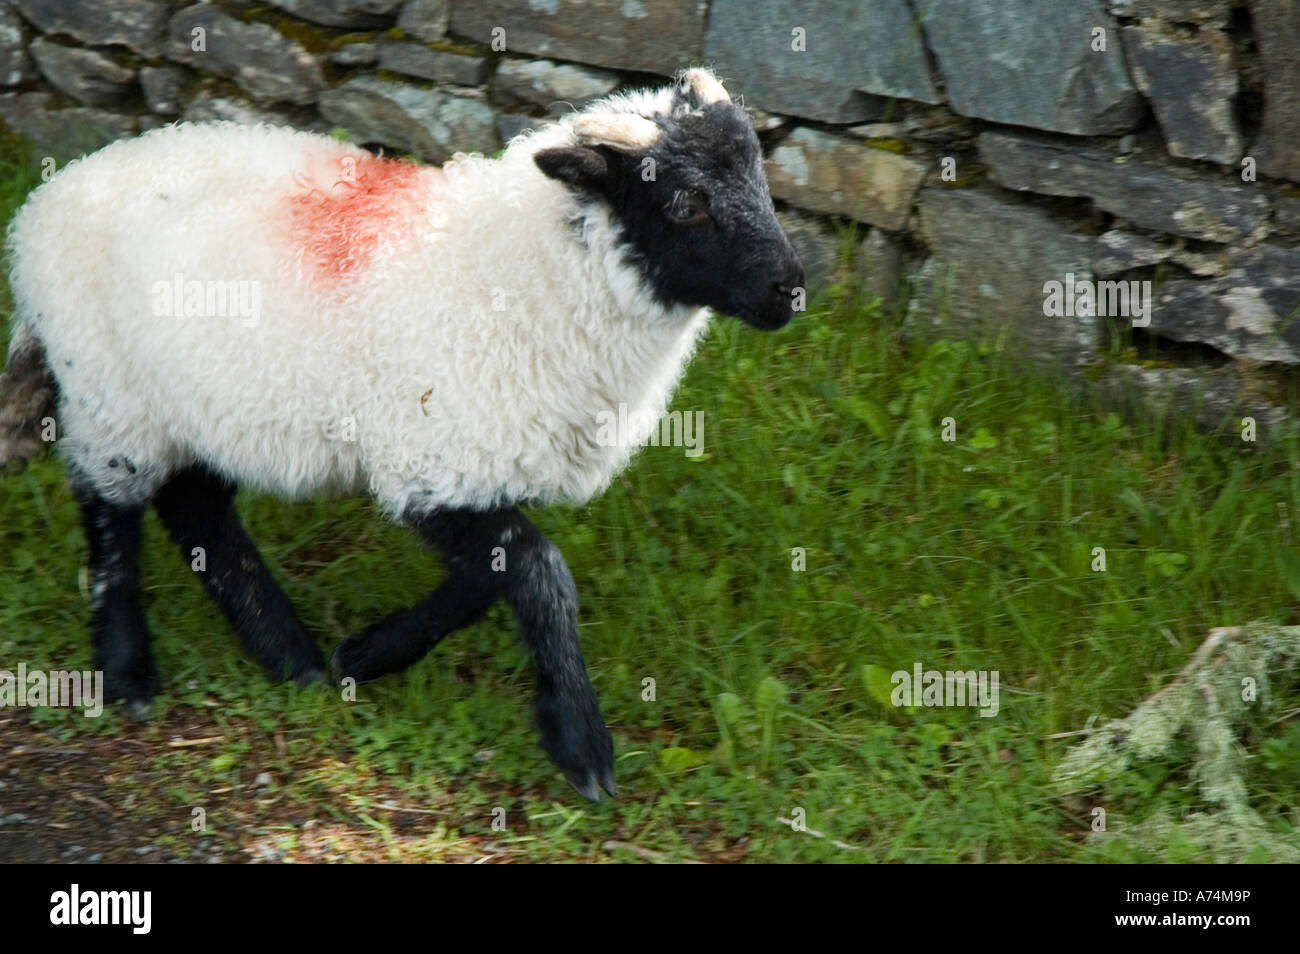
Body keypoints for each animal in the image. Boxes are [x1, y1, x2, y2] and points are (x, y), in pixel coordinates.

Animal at [0, 67, 803, 800]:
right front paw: (581, 745)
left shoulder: (463, 466)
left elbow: (484, 581)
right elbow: (539, 572)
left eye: (759, 177)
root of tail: (48, 199)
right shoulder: (430, 460)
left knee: (197, 510)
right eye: (685, 203)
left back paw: (288, 655)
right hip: (109, 390)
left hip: (191, 401)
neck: (526, 275)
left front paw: (363, 656)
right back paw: (130, 671)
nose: (789, 291)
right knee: (111, 512)